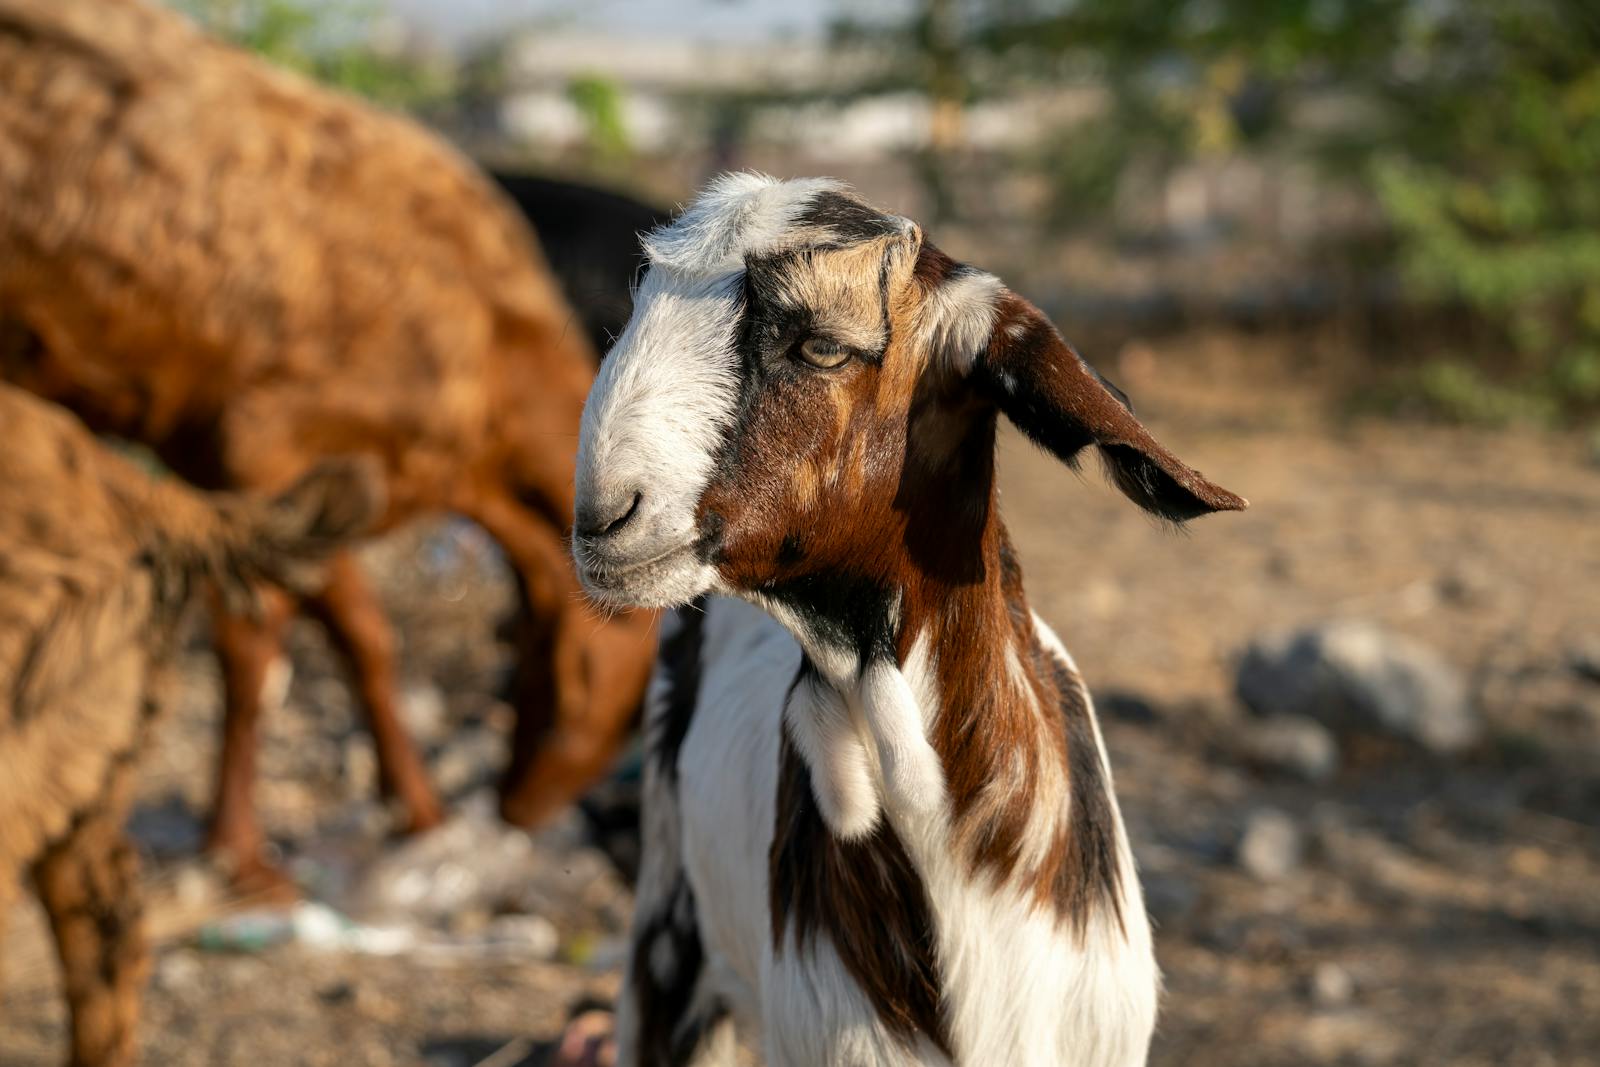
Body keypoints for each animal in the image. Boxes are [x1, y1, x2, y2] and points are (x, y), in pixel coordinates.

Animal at [0, 0, 657, 889]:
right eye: (625, 706)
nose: (522, 808)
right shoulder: (255, 450)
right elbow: (255, 642)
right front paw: (238, 850)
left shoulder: (325, 478)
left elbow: (364, 635)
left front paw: (417, 809)